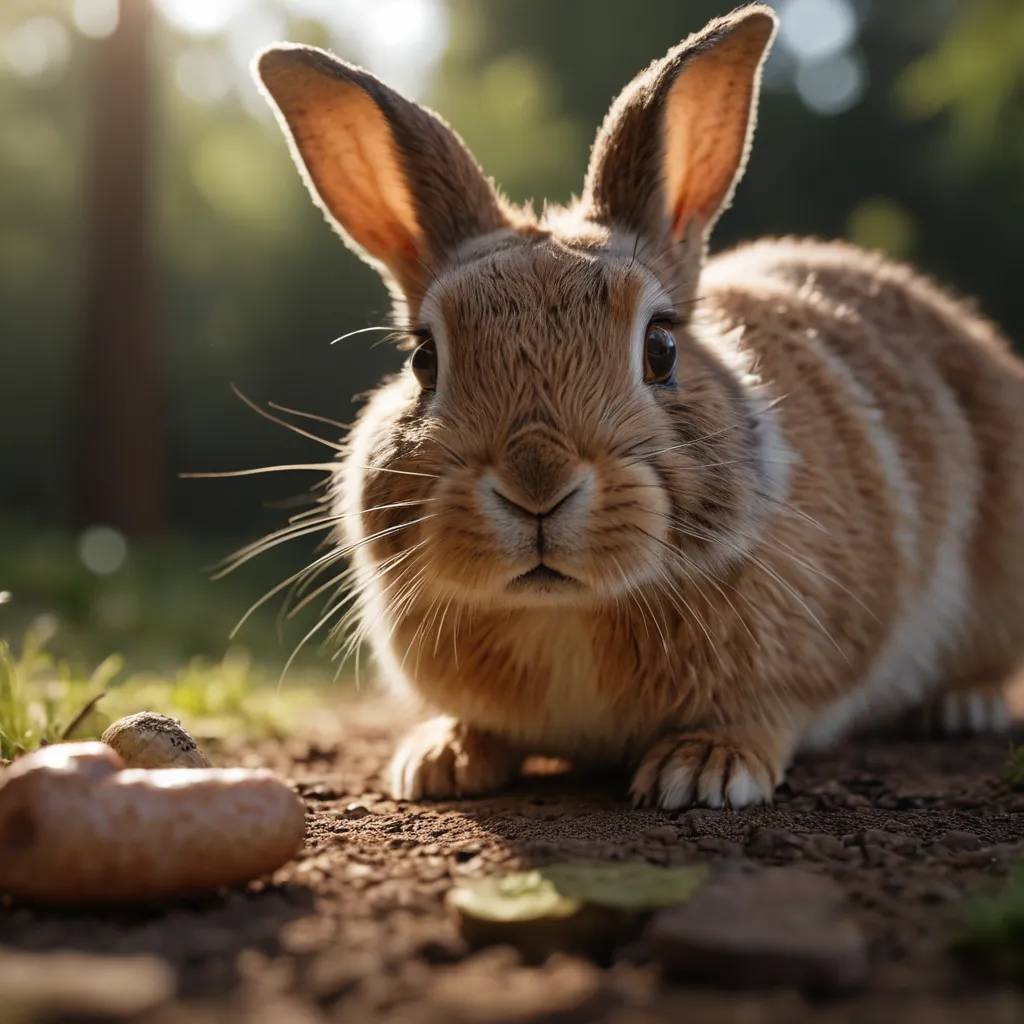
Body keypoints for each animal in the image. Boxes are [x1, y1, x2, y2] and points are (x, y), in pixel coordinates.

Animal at [253, 3, 1024, 810]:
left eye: (661, 348)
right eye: (423, 359)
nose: (537, 484)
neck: (562, 614)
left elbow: (764, 714)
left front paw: (705, 771)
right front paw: (443, 760)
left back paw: (959, 707)